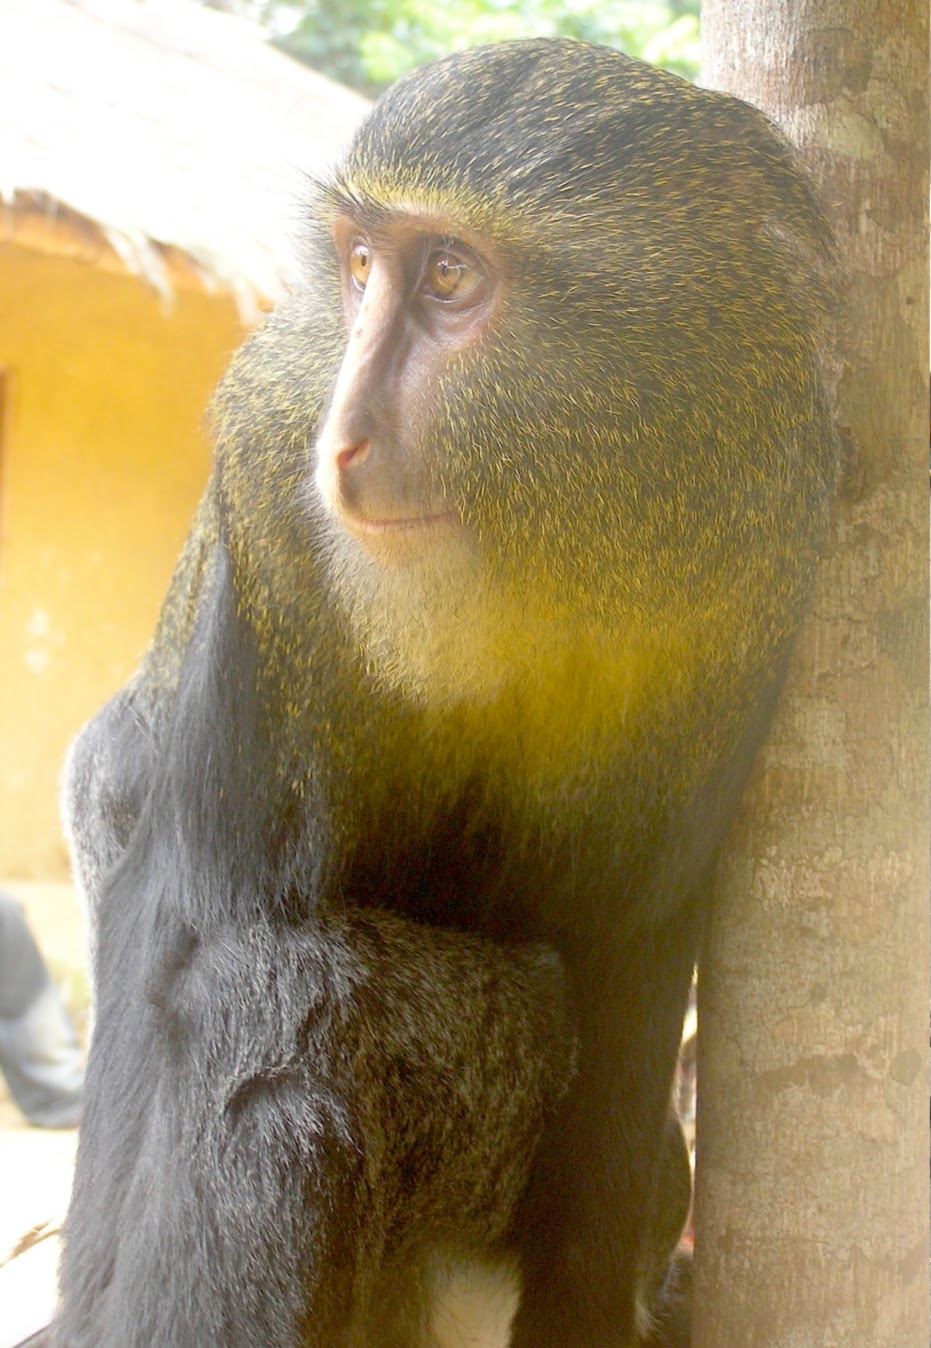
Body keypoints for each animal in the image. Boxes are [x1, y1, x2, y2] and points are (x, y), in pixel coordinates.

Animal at [48, 37, 837, 1348]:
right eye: (363, 268)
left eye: (452, 277)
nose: (343, 438)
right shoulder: (264, 482)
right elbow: (188, 919)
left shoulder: (758, 570)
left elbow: (633, 953)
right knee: (276, 987)